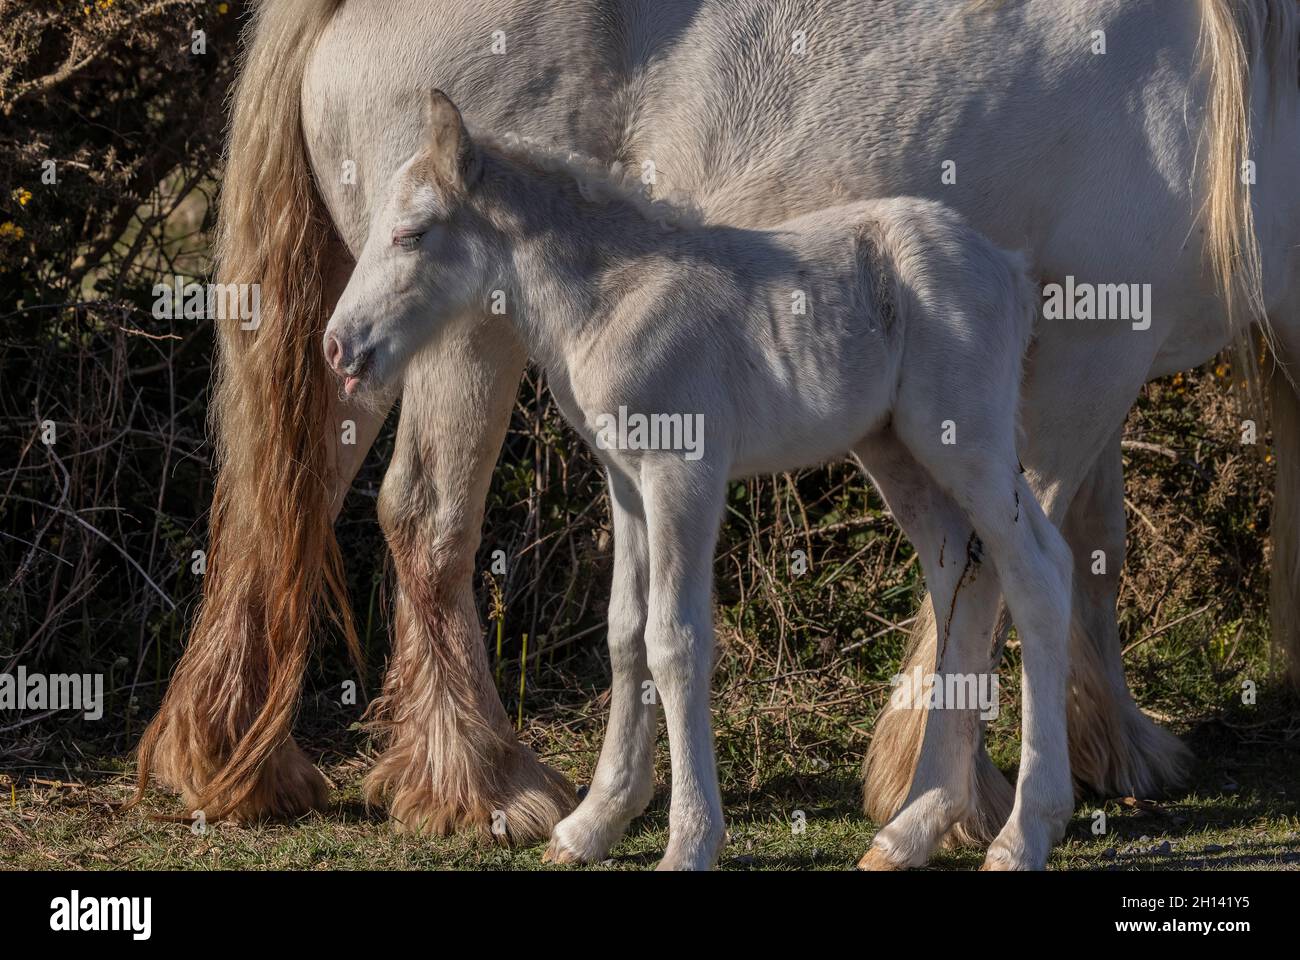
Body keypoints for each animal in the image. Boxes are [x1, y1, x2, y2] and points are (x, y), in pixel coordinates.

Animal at [135, 0, 1300, 870]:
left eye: (416, 230)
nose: (345, 340)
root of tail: (993, 264)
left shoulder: (682, 472)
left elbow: (674, 637)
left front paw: (682, 835)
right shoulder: (637, 477)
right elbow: (630, 633)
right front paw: (601, 822)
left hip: (936, 442)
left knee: (1016, 566)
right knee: (412, 514)